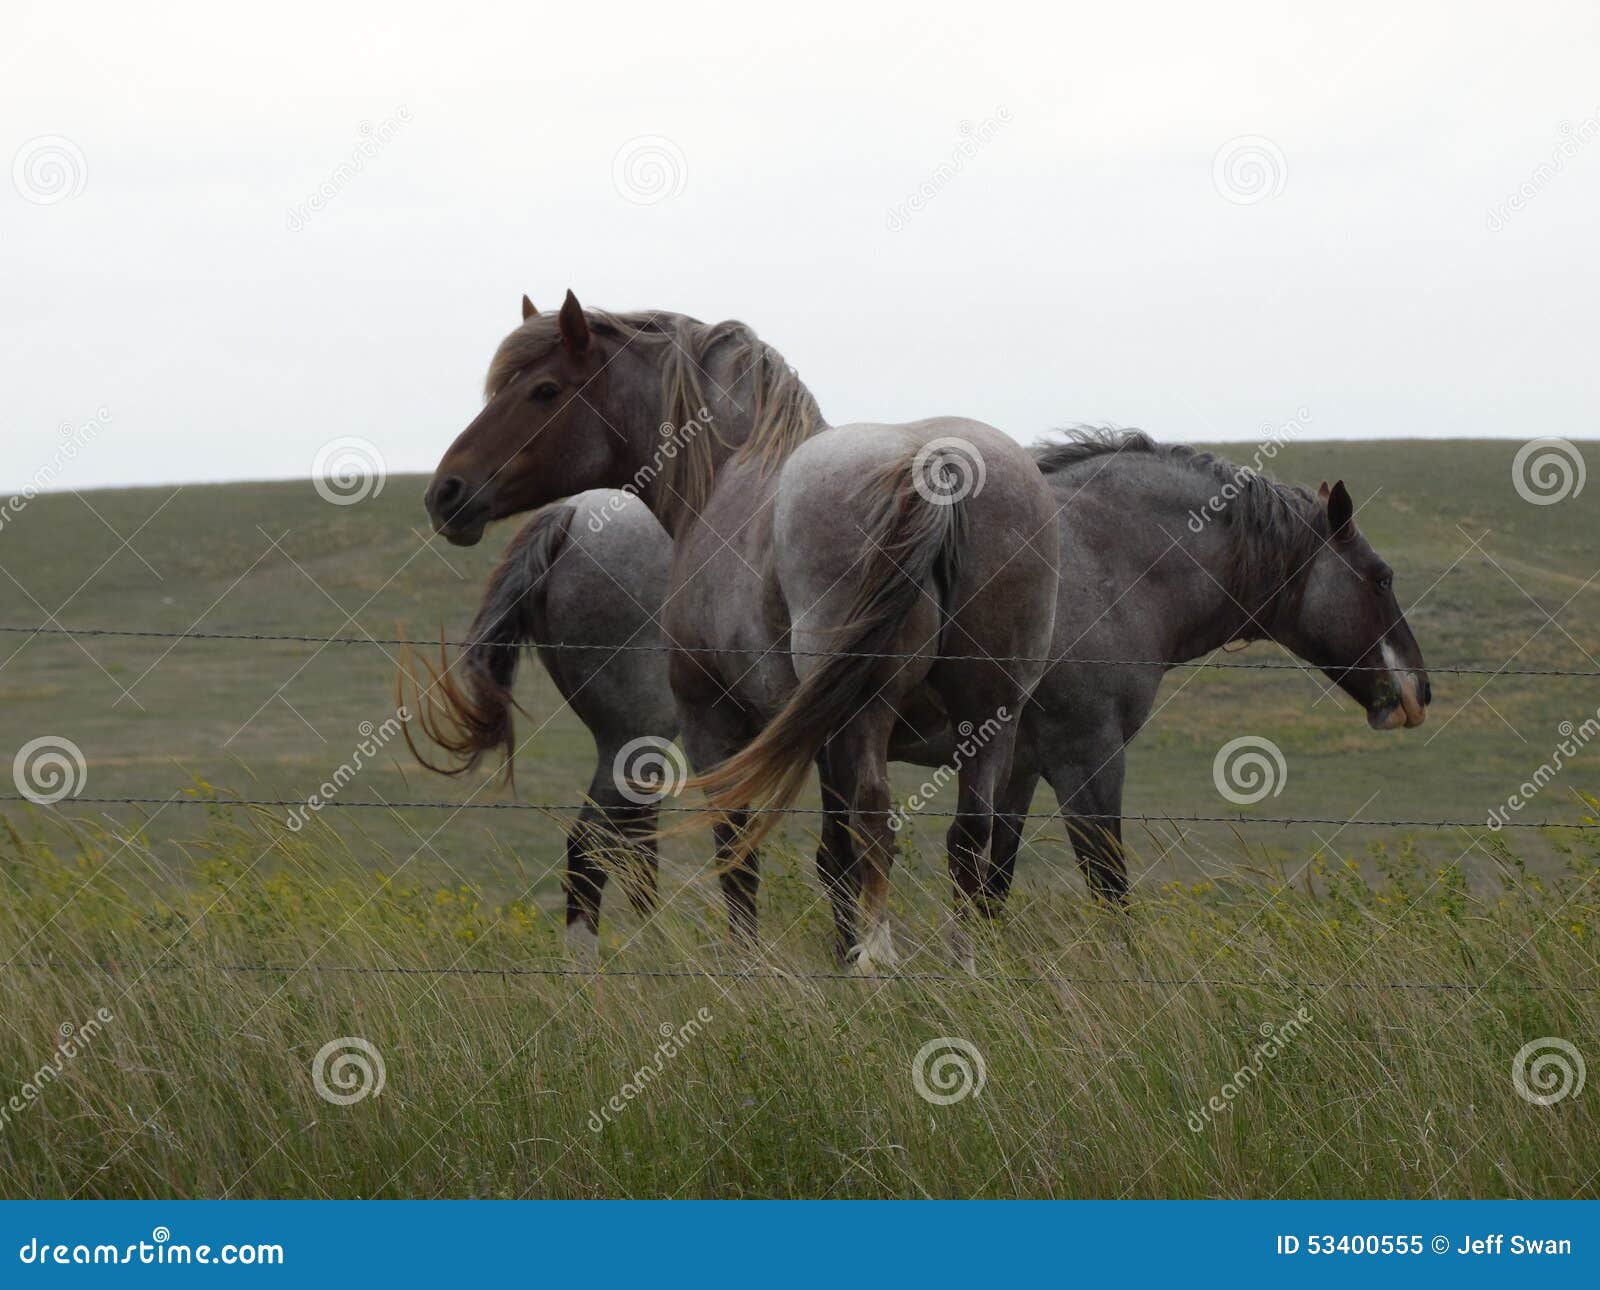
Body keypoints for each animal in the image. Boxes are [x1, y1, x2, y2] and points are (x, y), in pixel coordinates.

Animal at [423, 292, 1060, 972]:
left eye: (544, 390)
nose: (446, 492)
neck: (730, 468)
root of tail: (935, 465)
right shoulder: (822, 737)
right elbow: (832, 858)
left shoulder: (714, 721)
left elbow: (740, 850)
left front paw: (752, 968)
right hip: (989, 713)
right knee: (968, 837)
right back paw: (962, 968)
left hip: (844, 713)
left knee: (868, 822)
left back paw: (875, 959)